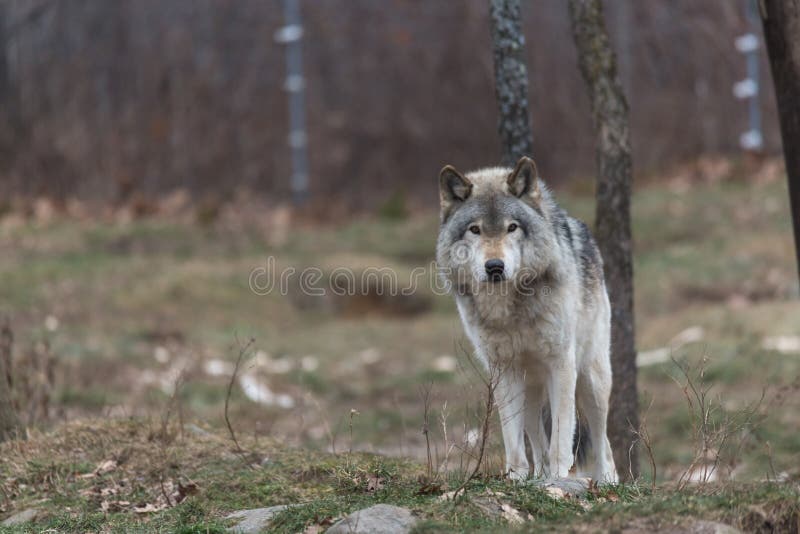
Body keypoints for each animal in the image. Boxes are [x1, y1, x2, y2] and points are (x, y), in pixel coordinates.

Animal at [436, 156, 617, 483]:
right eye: (475, 229)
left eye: (512, 227)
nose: (495, 266)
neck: (509, 310)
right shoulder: (503, 371)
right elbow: (513, 439)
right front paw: (517, 479)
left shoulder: (562, 364)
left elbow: (561, 437)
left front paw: (559, 478)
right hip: (530, 388)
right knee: (536, 440)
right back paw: (537, 477)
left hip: (591, 380)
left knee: (603, 443)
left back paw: (606, 481)